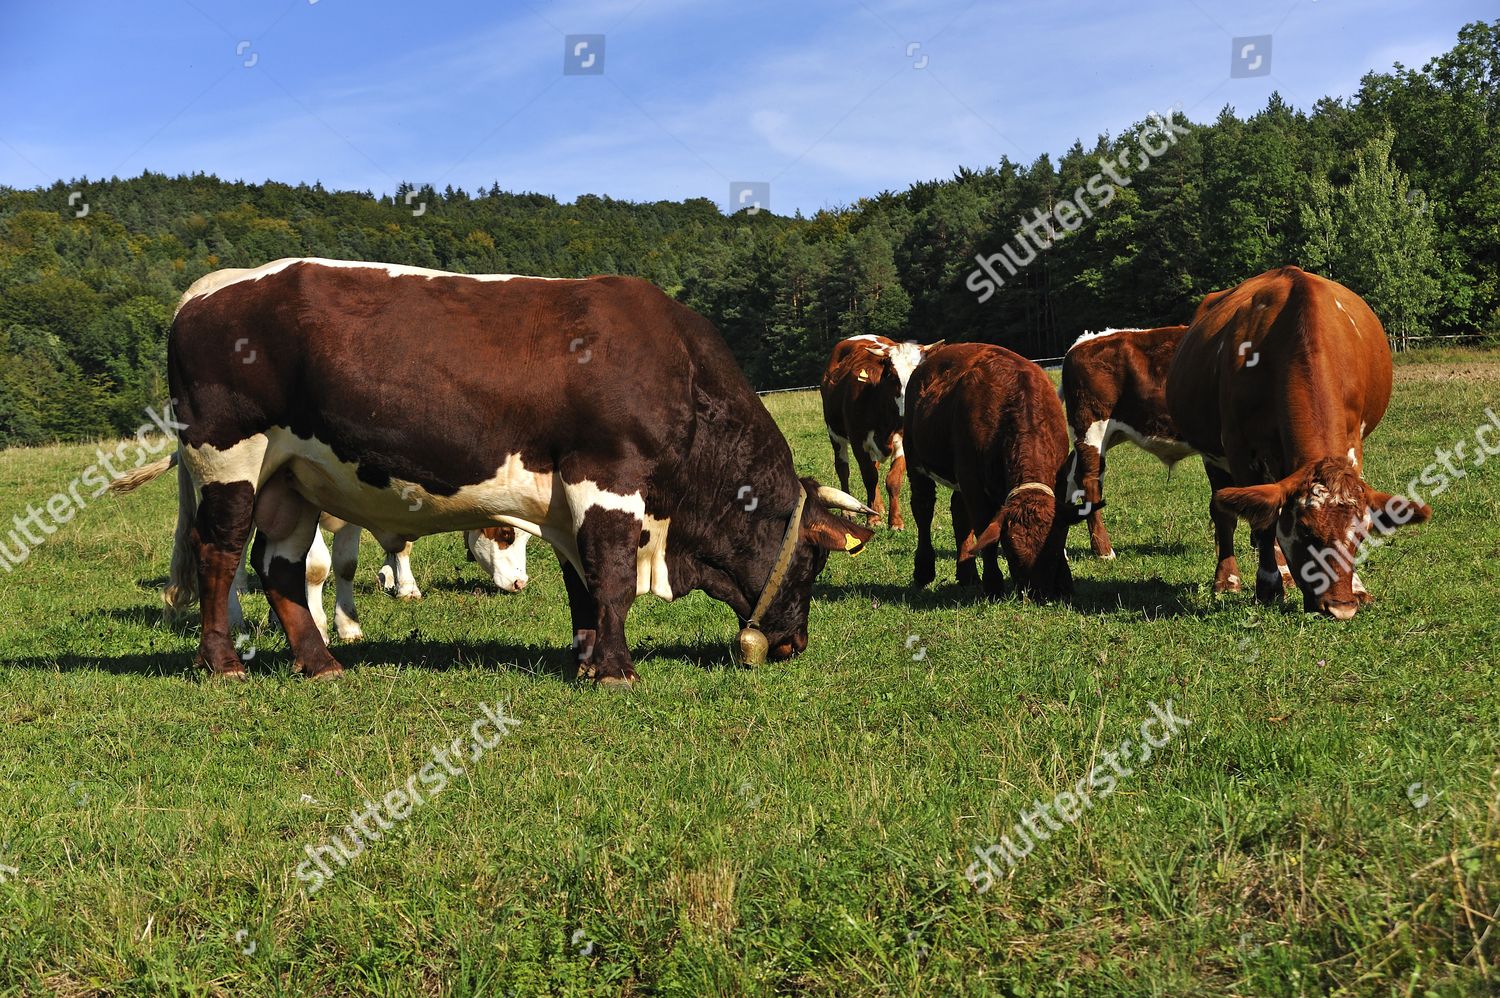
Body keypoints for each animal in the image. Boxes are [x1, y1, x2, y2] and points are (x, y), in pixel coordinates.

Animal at [164, 258, 875, 685]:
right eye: (814, 561)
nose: (794, 643)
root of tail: (210, 287)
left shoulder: (567, 499)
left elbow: (585, 583)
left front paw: (588, 659)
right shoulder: (608, 476)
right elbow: (612, 577)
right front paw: (617, 670)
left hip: (291, 480)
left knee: (279, 565)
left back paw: (319, 662)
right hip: (230, 461)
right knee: (219, 553)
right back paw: (222, 660)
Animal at [820, 335, 941, 529]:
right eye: (892, 375)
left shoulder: (902, 442)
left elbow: (893, 480)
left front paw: (895, 521)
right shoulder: (858, 442)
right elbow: (869, 477)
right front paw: (873, 520)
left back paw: (878, 508)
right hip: (834, 433)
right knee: (843, 469)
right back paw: (848, 512)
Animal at [904, 343, 1072, 600]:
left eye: (1051, 550)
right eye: (1011, 552)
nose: (1037, 592)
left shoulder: (1060, 477)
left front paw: (1065, 580)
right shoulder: (972, 480)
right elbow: (985, 531)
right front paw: (993, 584)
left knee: (959, 512)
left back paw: (967, 573)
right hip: (915, 459)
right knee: (923, 507)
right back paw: (924, 571)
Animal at [1166, 266, 1430, 618]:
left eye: (1361, 534)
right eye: (1305, 530)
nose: (1340, 607)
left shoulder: (1352, 443)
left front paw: (1358, 587)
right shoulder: (1239, 449)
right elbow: (1262, 522)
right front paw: (1268, 586)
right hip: (1214, 455)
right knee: (1226, 513)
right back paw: (1227, 579)